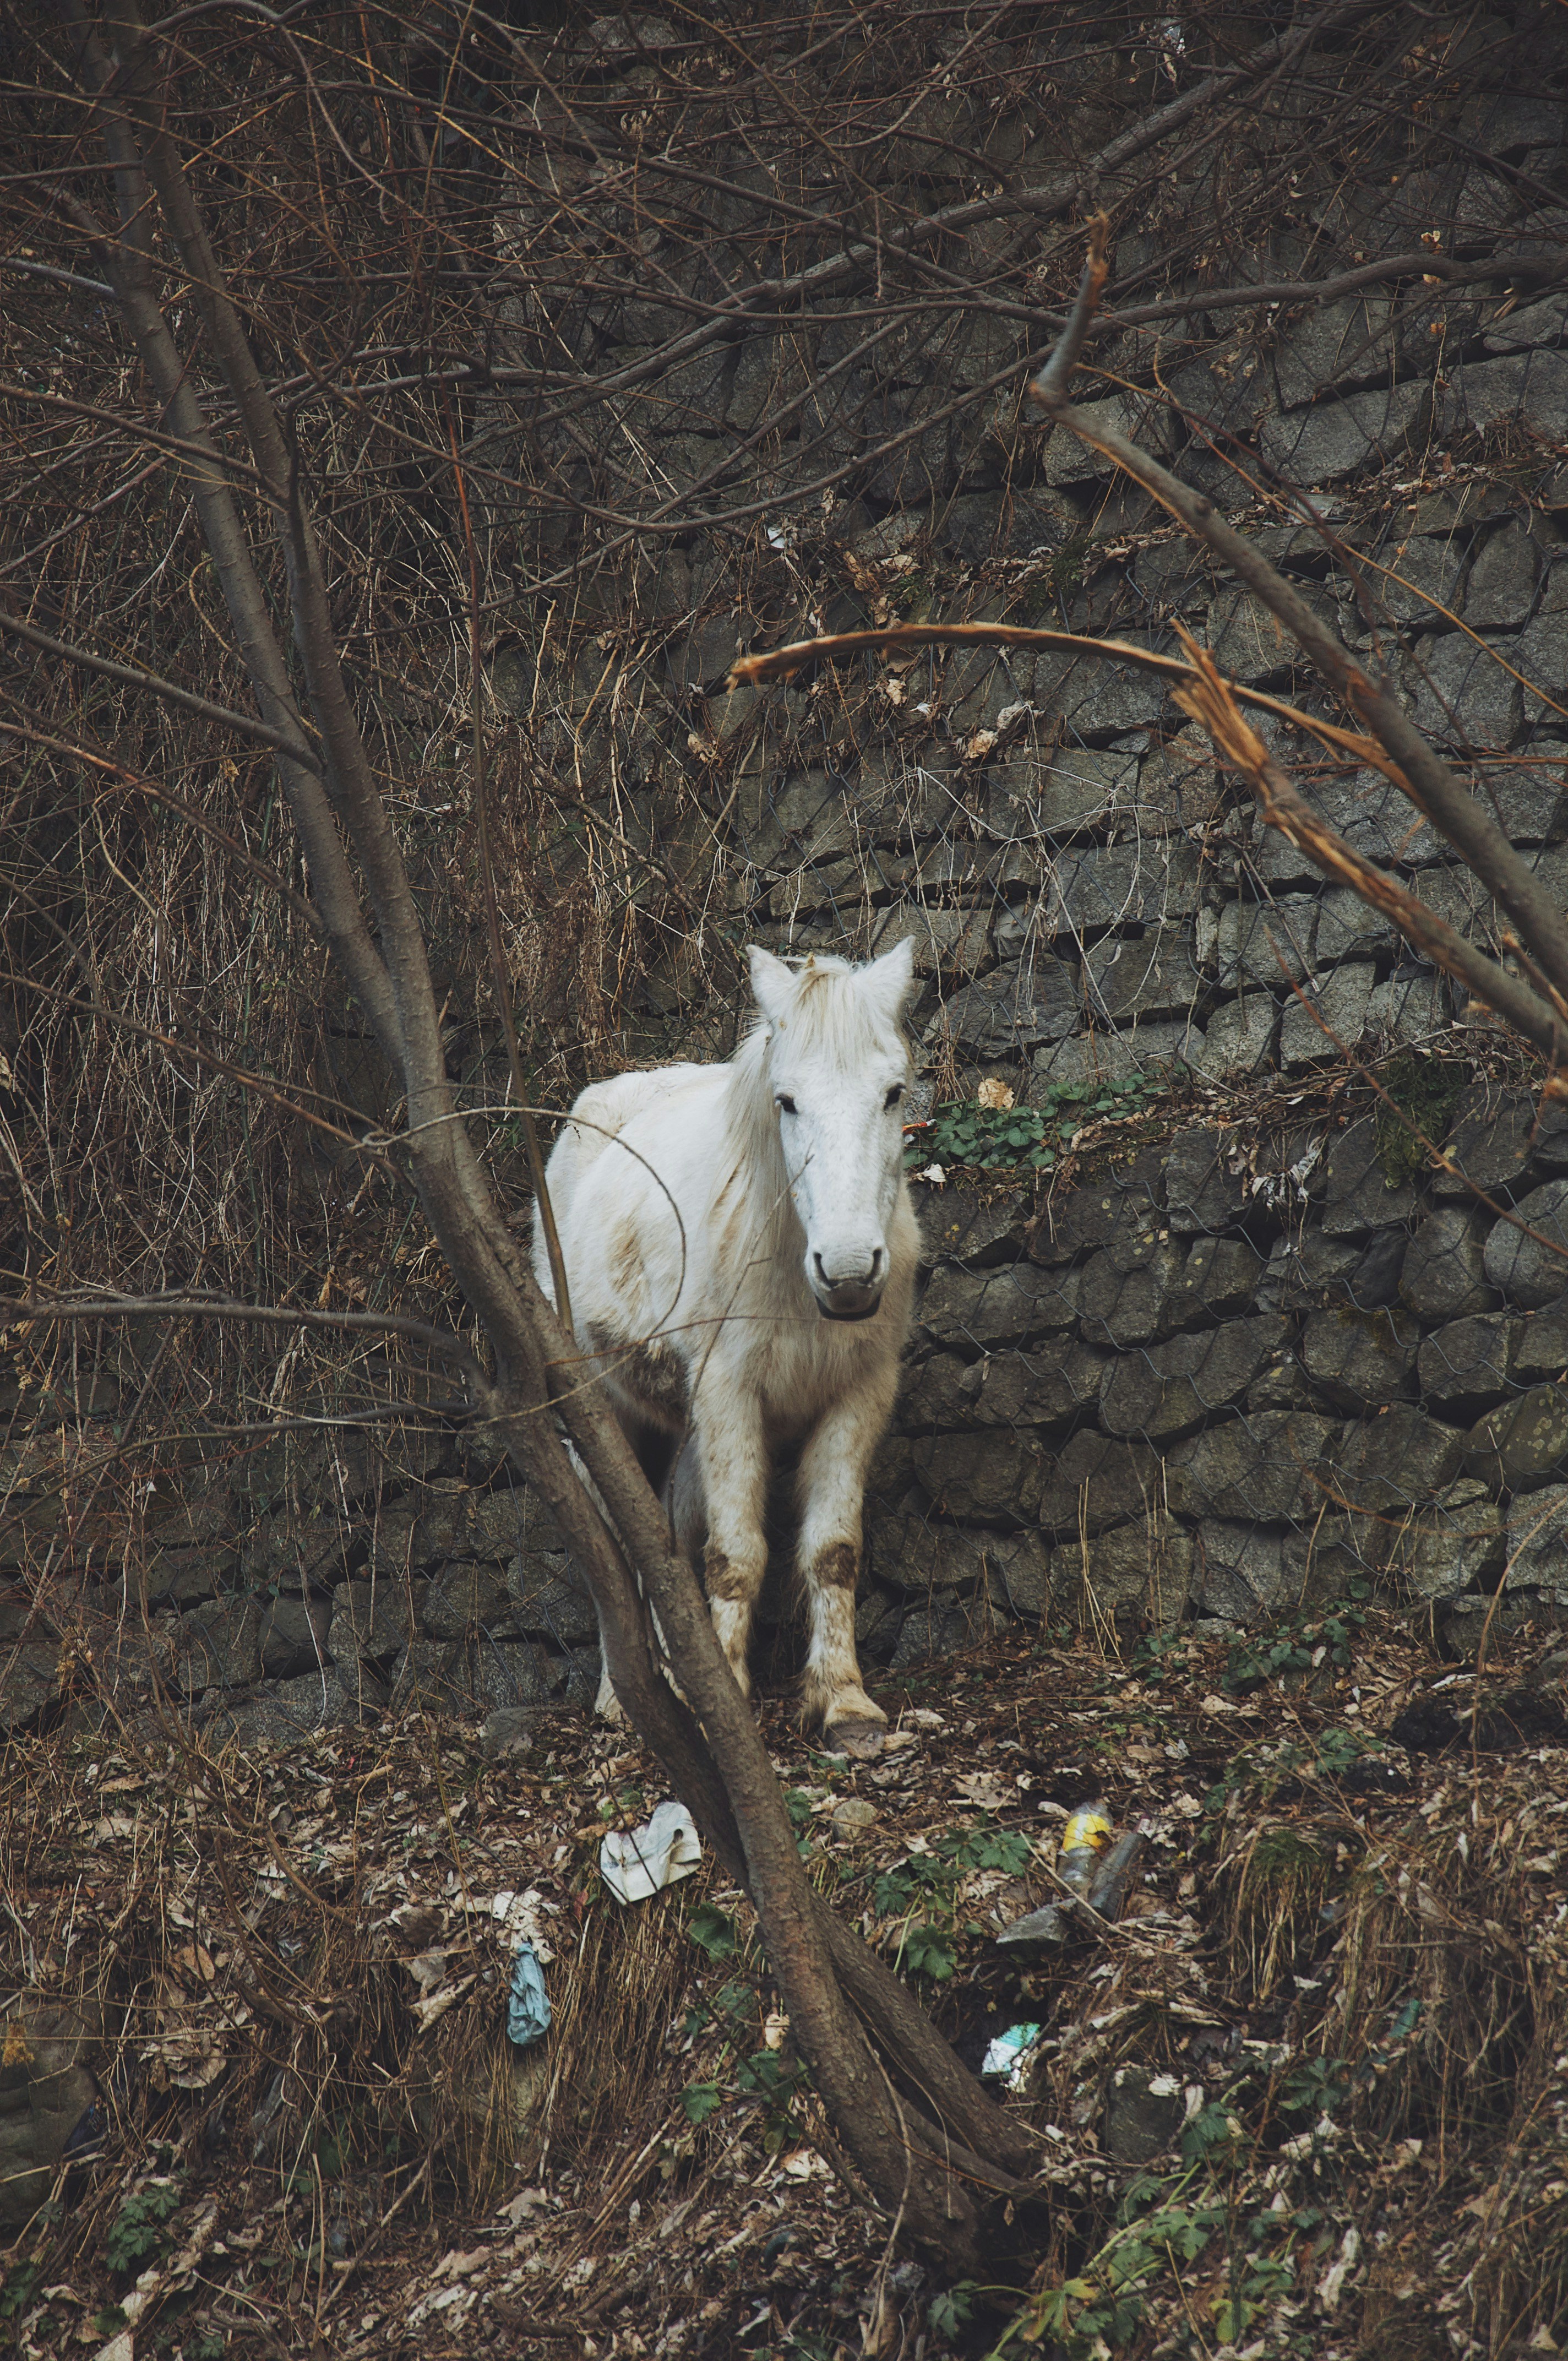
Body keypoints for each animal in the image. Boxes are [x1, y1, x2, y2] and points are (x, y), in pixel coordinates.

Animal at [533, 938, 919, 1742]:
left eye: (894, 1093)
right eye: (787, 1101)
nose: (847, 1271)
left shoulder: (857, 1396)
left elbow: (832, 1551)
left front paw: (843, 1702)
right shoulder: (729, 1395)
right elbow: (736, 1556)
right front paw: (730, 1709)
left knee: (668, 1538)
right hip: (602, 1412)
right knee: (615, 1548)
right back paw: (623, 1699)